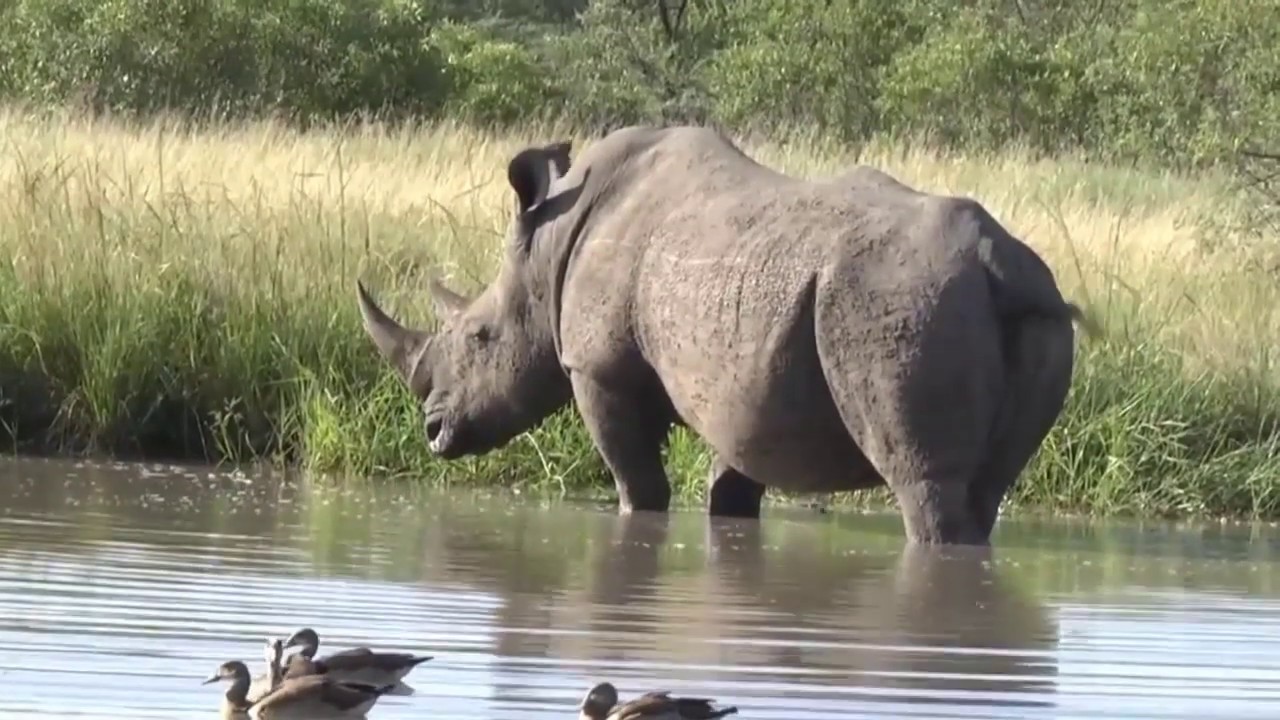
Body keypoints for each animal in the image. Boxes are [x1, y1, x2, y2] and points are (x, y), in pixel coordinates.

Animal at [356, 125, 1098, 545]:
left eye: (480, 337)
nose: (434, 431)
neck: (547, 253)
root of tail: (998, 263)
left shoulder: (599, 370)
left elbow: (638, 483)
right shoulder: (751, 378)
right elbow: (732, 483)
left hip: (900, 301)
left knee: (926, 484)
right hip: (1026, 319)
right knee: (987, 488)